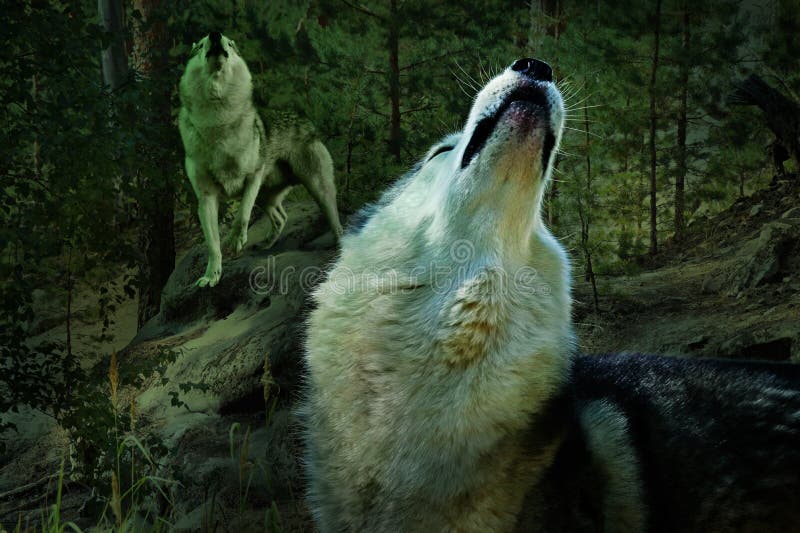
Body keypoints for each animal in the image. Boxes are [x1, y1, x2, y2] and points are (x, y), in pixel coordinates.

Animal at [179, 32, 343, 287]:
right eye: (202, 42)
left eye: (228, 42)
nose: (215, 34)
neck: (217, 121)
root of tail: (306, 119)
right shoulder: (205, 198)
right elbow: (213, 245)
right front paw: (211, 276)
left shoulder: (252, 176)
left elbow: (241, 216)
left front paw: (236, 239)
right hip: (266, 198)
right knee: (281, 218)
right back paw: (266, 245)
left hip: (319, 189)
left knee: (337, 223)